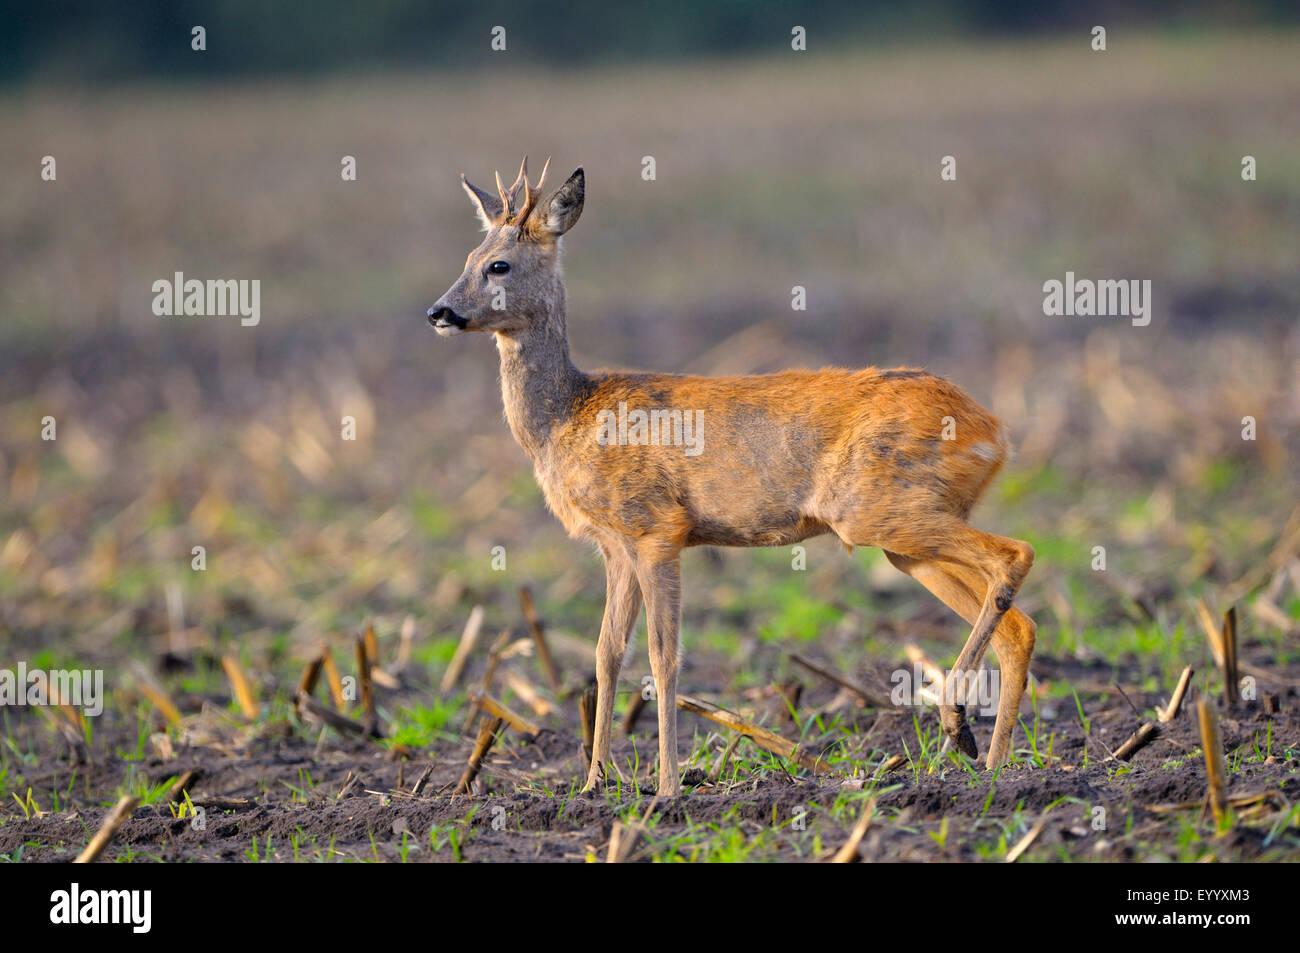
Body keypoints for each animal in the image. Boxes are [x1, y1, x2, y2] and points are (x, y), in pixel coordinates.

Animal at [427, 158, 1036, 797]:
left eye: (499, 264)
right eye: (469, 254)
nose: (438, 312)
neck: (570, 414)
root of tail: (996, 431)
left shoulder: (657, 529)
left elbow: (663, 657)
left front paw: (667, 787)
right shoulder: (615, 546)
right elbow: (605, 653)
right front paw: (595, 784)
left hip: (875, 510)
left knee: (1015, 553)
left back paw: (957, 724)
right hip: (903, 535)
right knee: (1018, 625)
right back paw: (991, 763)